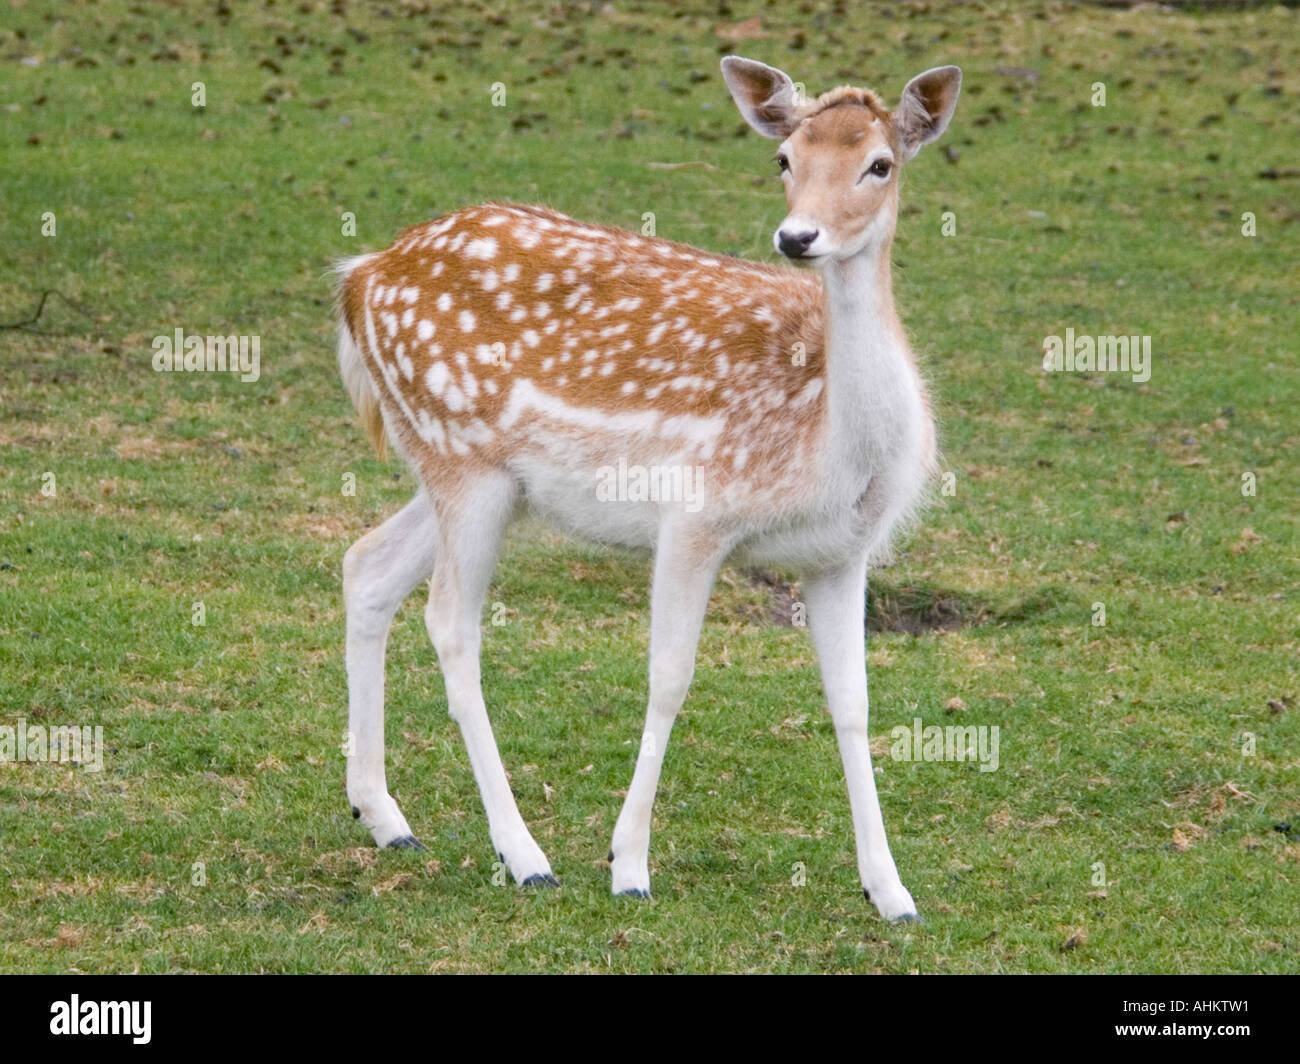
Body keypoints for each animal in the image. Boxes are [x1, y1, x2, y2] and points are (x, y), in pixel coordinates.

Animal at [333, 56, 961, 922]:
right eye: (784, 158)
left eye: (879, 164)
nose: (797, 237)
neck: (831, 445)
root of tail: (358, 278)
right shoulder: (697, 515)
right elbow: (669, 679)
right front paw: (627, 865)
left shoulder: (840, 553)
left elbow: (854, 702)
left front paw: (891, 890)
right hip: (463, 462)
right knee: (451, 625)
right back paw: (525, 856)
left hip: (470, 471)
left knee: (367, 565)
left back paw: (384, 816)